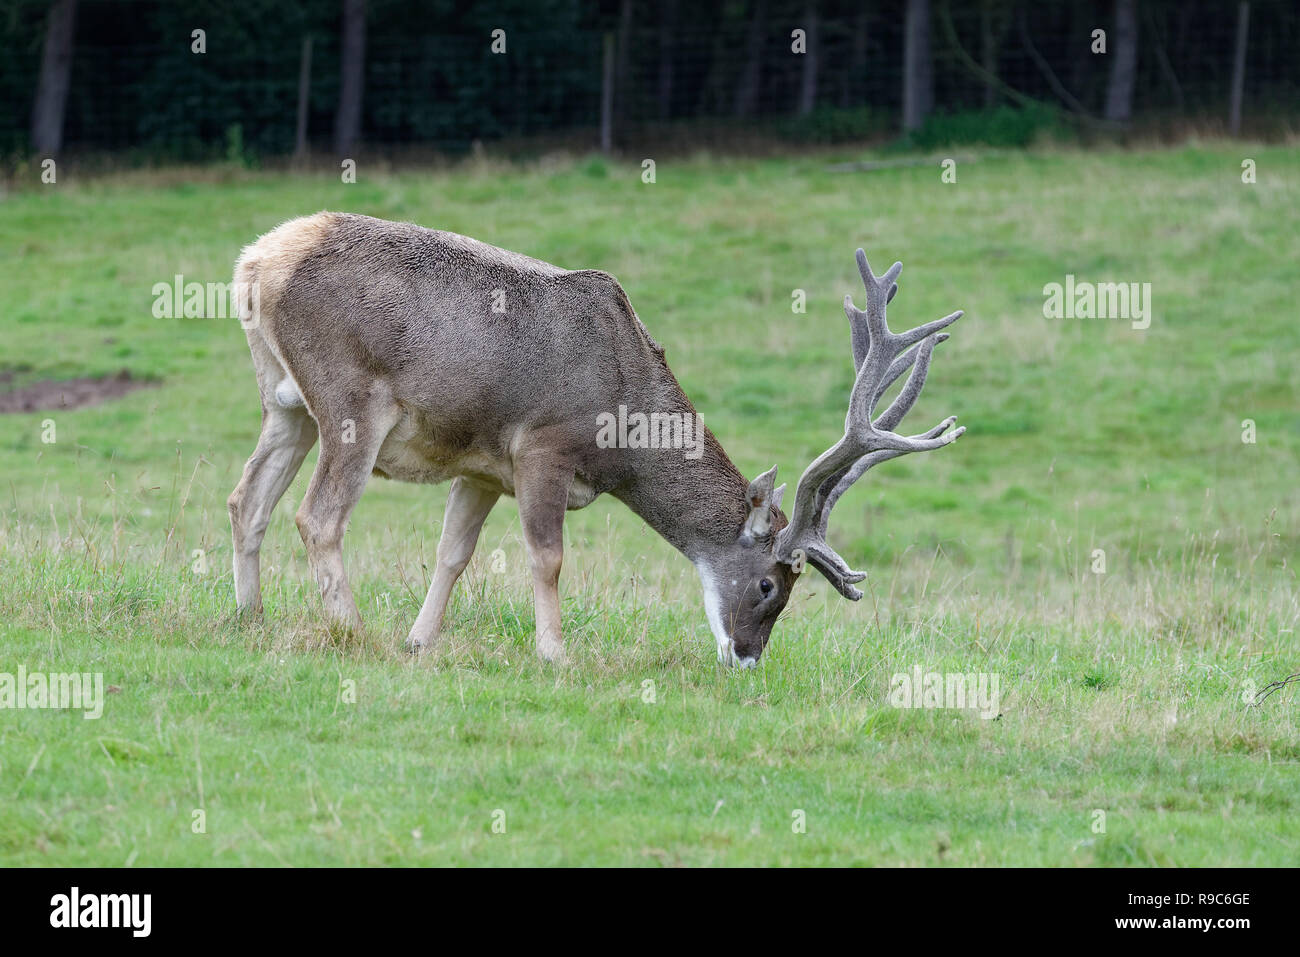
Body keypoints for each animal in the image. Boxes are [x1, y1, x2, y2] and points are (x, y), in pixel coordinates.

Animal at [227, 212, 964, 667]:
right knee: (317, 516)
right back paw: (350, 631)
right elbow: (547, 556)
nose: (747, 657)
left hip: (283, 404)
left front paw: (420, 641)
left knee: (247, 499)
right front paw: (555, 652)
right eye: (767, 585)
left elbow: (453, 554)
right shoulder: (541, 448)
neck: (624, 428)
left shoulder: (481, 467)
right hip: (352, 402)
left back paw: (250, 617)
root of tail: (255, 260)